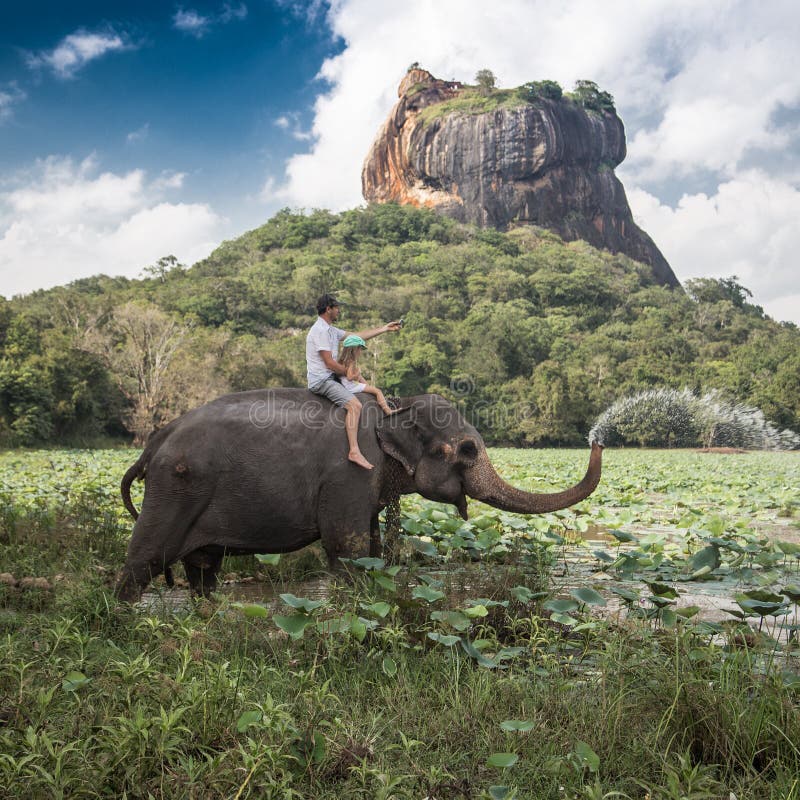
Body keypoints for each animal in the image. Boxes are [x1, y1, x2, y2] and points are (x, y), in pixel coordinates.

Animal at [115, 389, 602, 600]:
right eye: (466, 450)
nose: (598, 439)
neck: (392, 410)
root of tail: (153, 443)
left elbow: (370, 548)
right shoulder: (349, 475)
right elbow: (346, 549)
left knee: (203, 568)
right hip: (173, 489)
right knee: (144, 560)